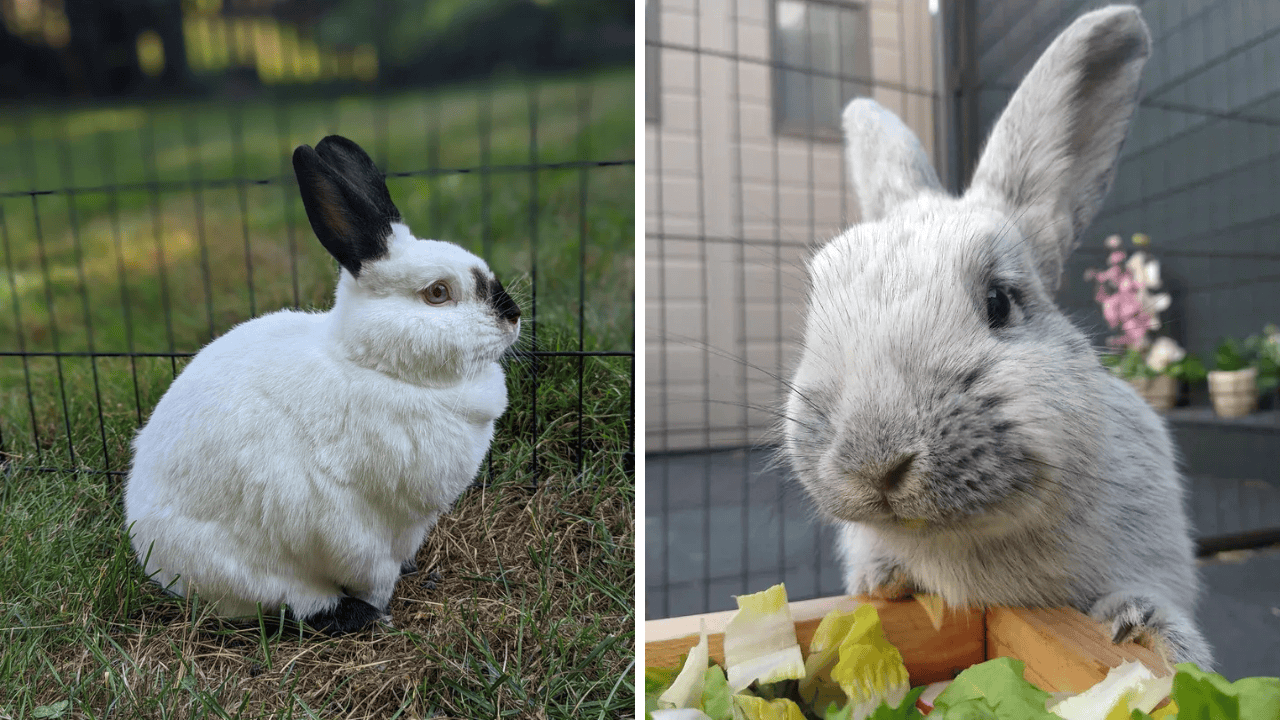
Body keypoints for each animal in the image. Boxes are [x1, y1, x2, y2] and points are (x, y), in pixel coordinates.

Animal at [124, 135, 521, 635]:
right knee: (295, 604)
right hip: (251, 572)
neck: (373, 366)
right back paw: (360, 616)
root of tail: (152, 556)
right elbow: (372, 574)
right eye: (437, 293)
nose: (514, 316)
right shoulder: (359, 531)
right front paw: (384, 609)